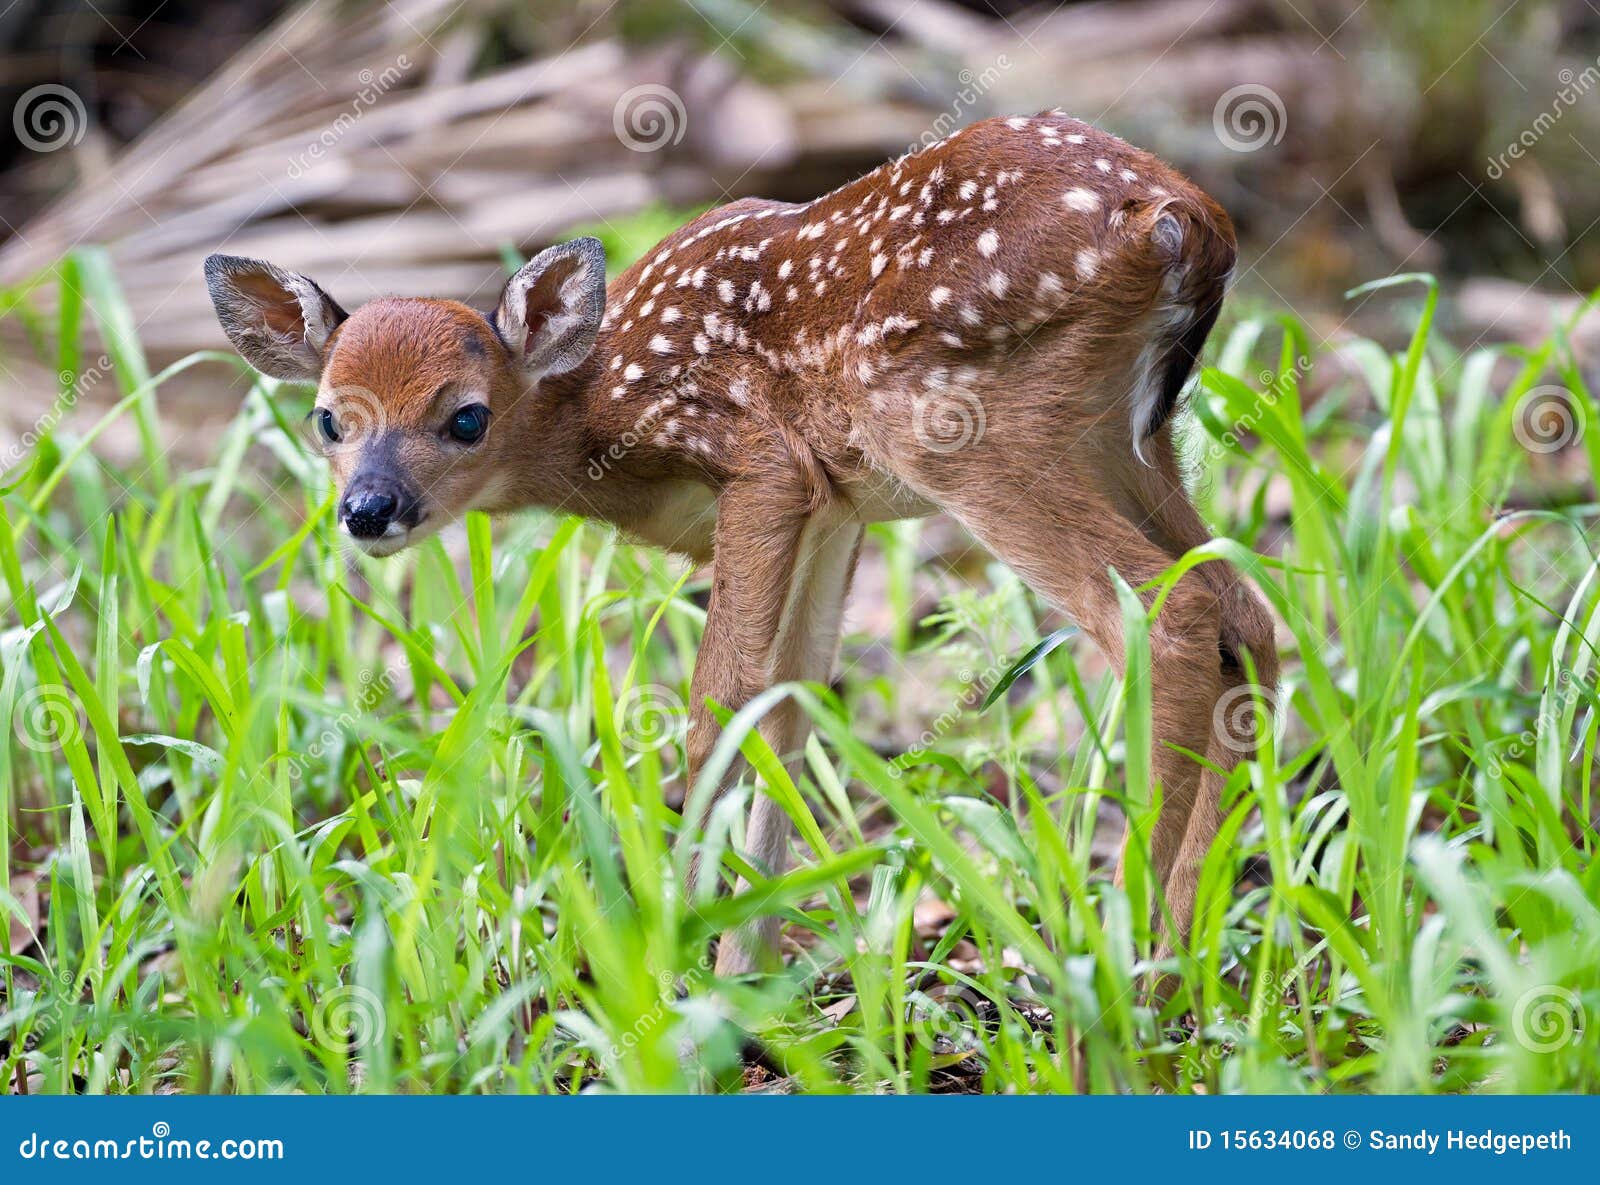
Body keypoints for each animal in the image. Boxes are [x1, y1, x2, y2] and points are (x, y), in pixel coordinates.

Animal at [204, 110, 1277, 980]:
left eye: (466, 418)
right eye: (329, 420)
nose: (369, 509)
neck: (603, 417)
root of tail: (1178, 219)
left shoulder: (761, 460)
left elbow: (717, 702)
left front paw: (681, 959)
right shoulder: (836, 506)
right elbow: (790, 703)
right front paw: (746, 971)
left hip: (954, 426)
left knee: (1165, 611)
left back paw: (1133, 954)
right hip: (1125, 438)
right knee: (1248, 616)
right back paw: (1188, 947)